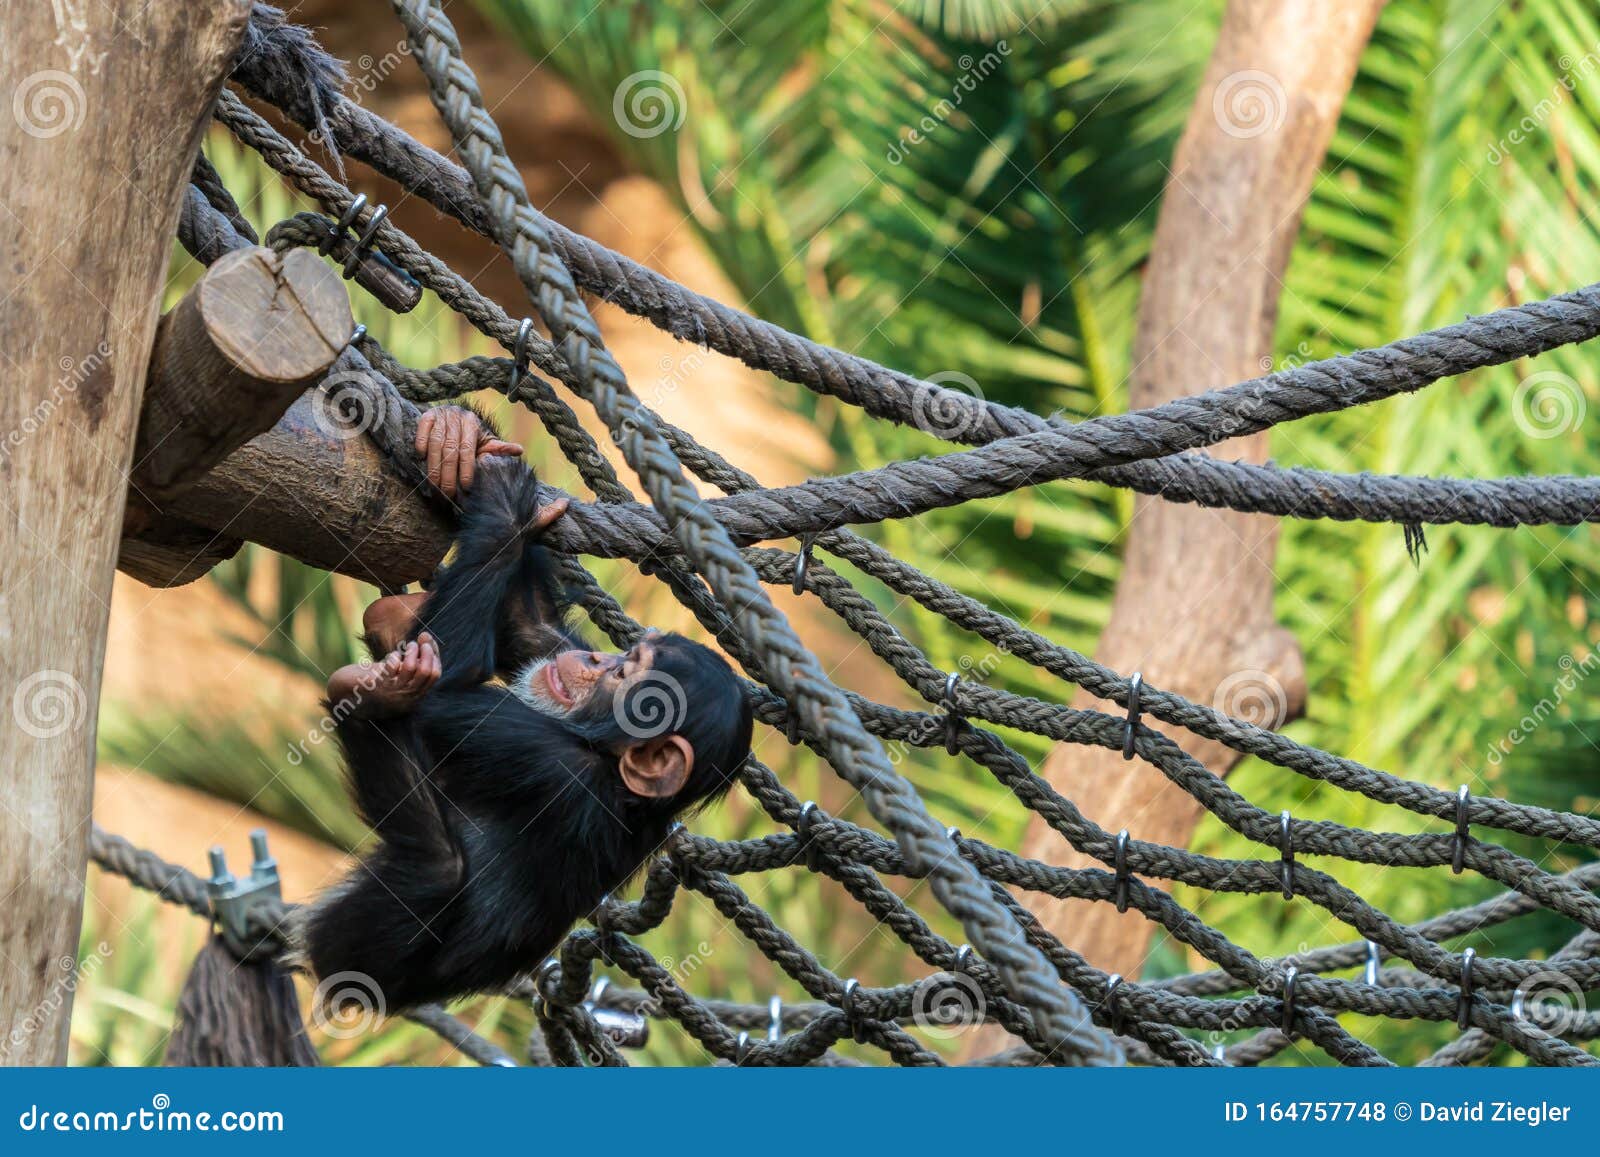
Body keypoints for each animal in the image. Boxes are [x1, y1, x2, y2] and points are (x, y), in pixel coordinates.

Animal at [302, 414, 753, 1013]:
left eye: (623, 676)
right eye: (622, 658)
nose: (599, 659)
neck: (605, 760)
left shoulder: (541, 755)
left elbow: (446, 691)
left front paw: (503, 501)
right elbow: (530, 629)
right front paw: (462, 437)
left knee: (438, 868)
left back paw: (378, 692)